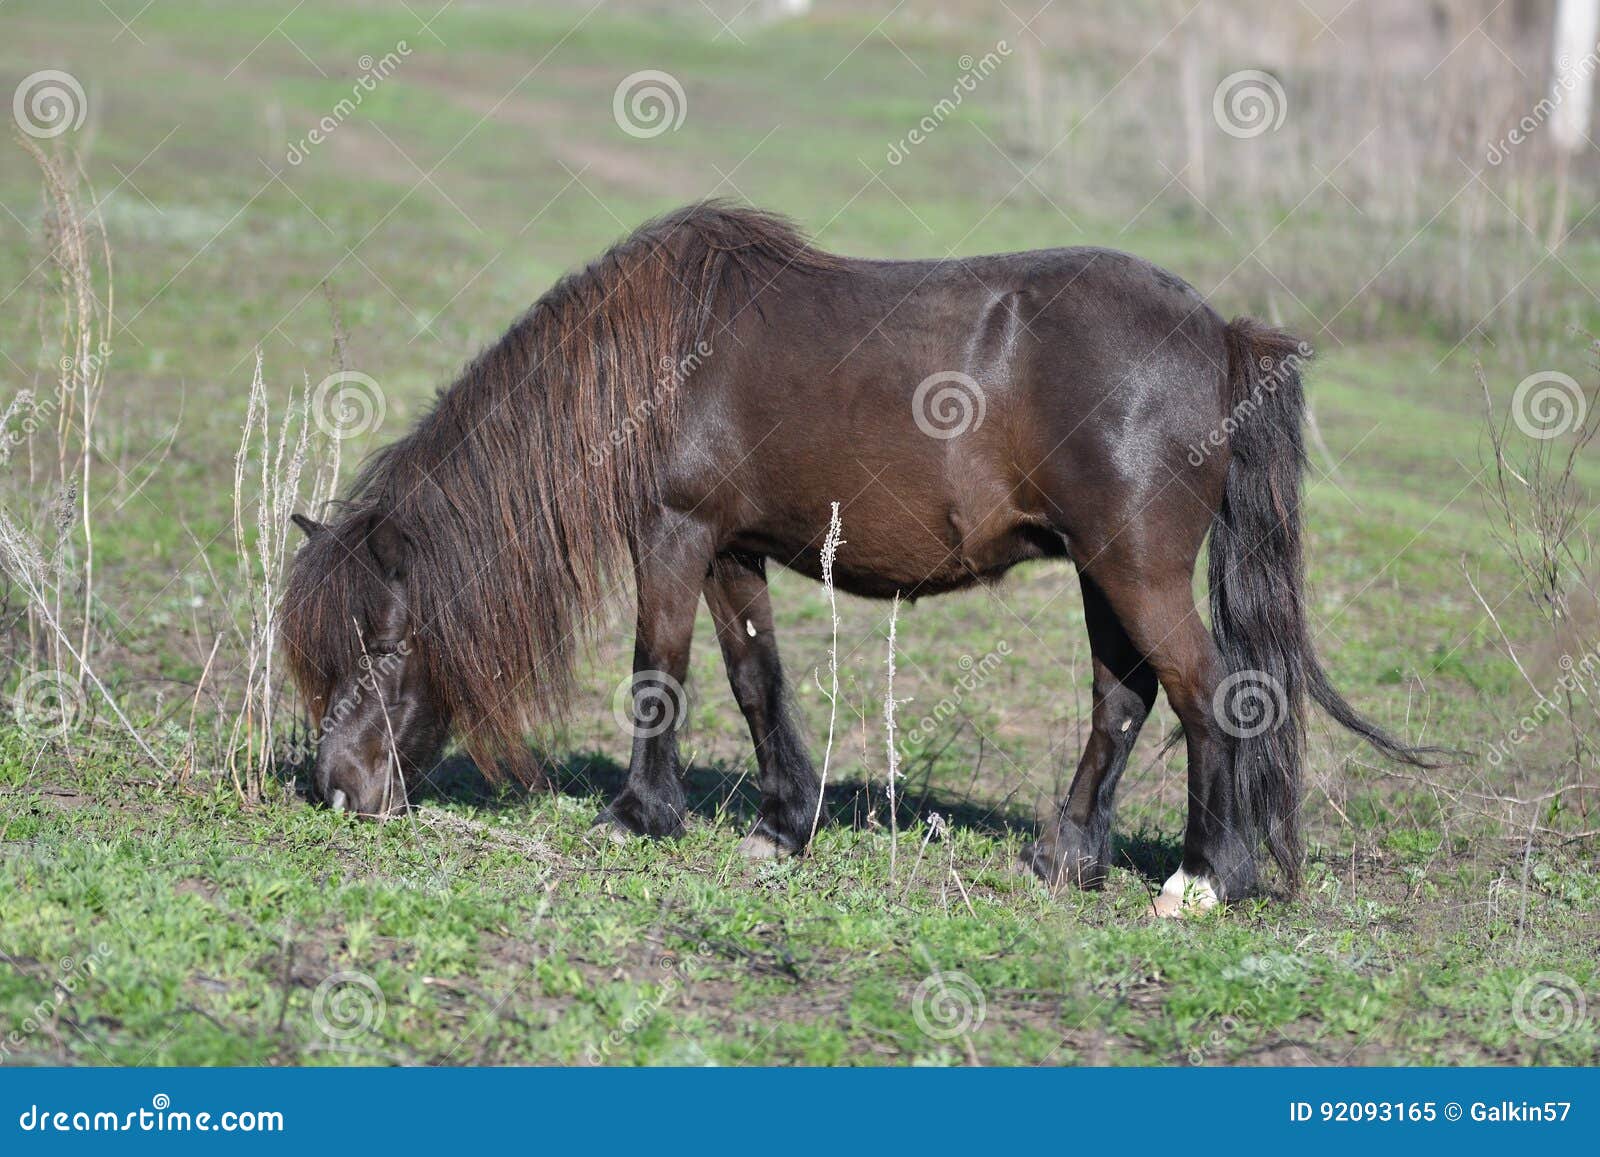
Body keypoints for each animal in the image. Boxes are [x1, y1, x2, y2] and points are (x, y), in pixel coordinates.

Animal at [280, 201, 1434, 916]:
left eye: (387, 647)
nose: (334, 786)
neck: (658, 358)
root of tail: (1221, 336)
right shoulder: (729, 548)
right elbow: (753, 677)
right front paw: (782, 824)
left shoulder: (672, 533)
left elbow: (659, 669)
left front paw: (636, 816)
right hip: (1102, 572)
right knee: (1123, 697)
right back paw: (1067, 857)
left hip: (1135, 568)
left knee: (1210, 693)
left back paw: (1201, 878)